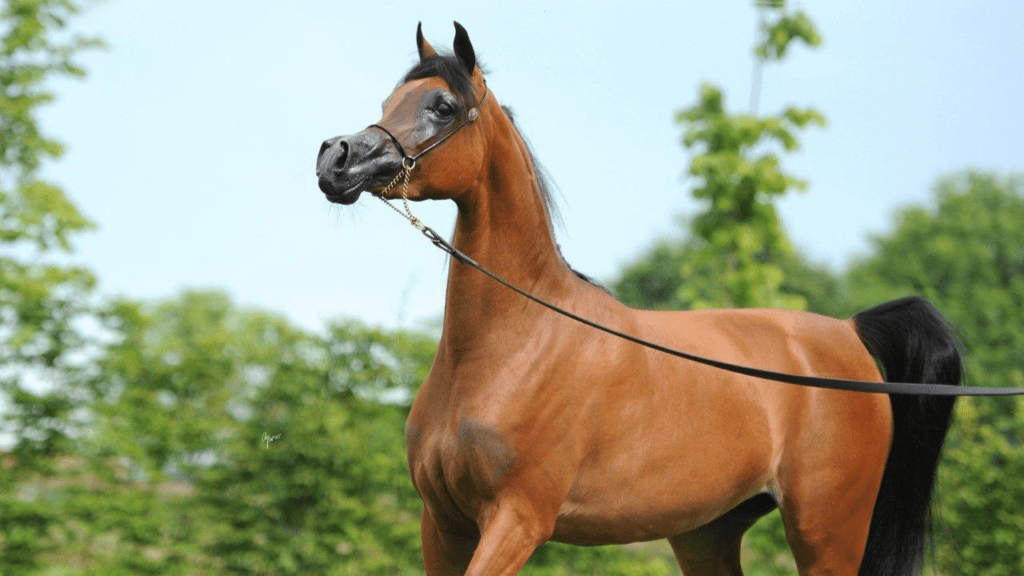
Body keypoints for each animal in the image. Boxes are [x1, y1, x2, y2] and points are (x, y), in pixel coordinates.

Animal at [316, 23, 961, 576]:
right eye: (388, 102)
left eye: (442, 107)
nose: (336, 158)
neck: (510, 345)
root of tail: (850, 332)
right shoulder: (443, 523)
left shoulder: (517, 520)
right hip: (706, 534)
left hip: (827, 534)